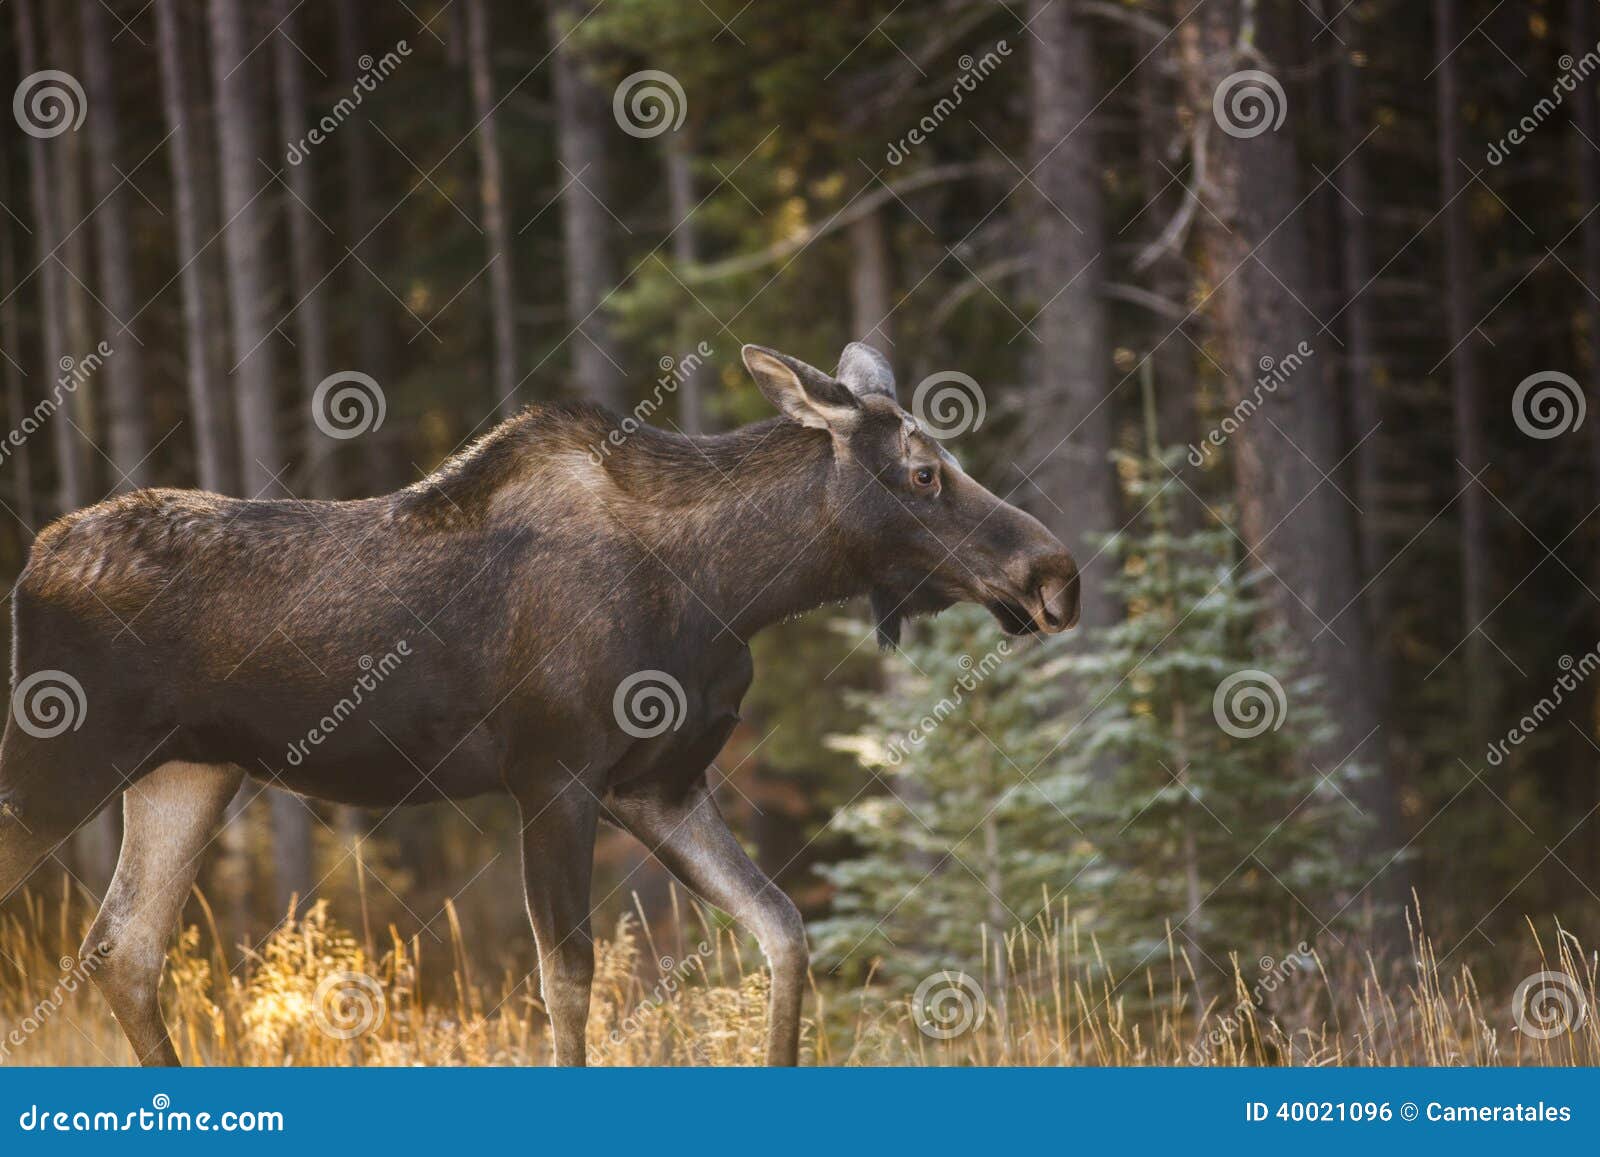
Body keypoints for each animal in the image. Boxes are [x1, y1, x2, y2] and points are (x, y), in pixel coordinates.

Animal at [0, 341, 1079, 1066]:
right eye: (925, 471)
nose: (1057, 572)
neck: (727, 589)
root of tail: (32, 562)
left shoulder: (660, 785)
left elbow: (781, 930)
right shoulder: (553, 774)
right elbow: (568, 976)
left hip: (188, 771)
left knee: (126, 948)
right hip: (57, 759)